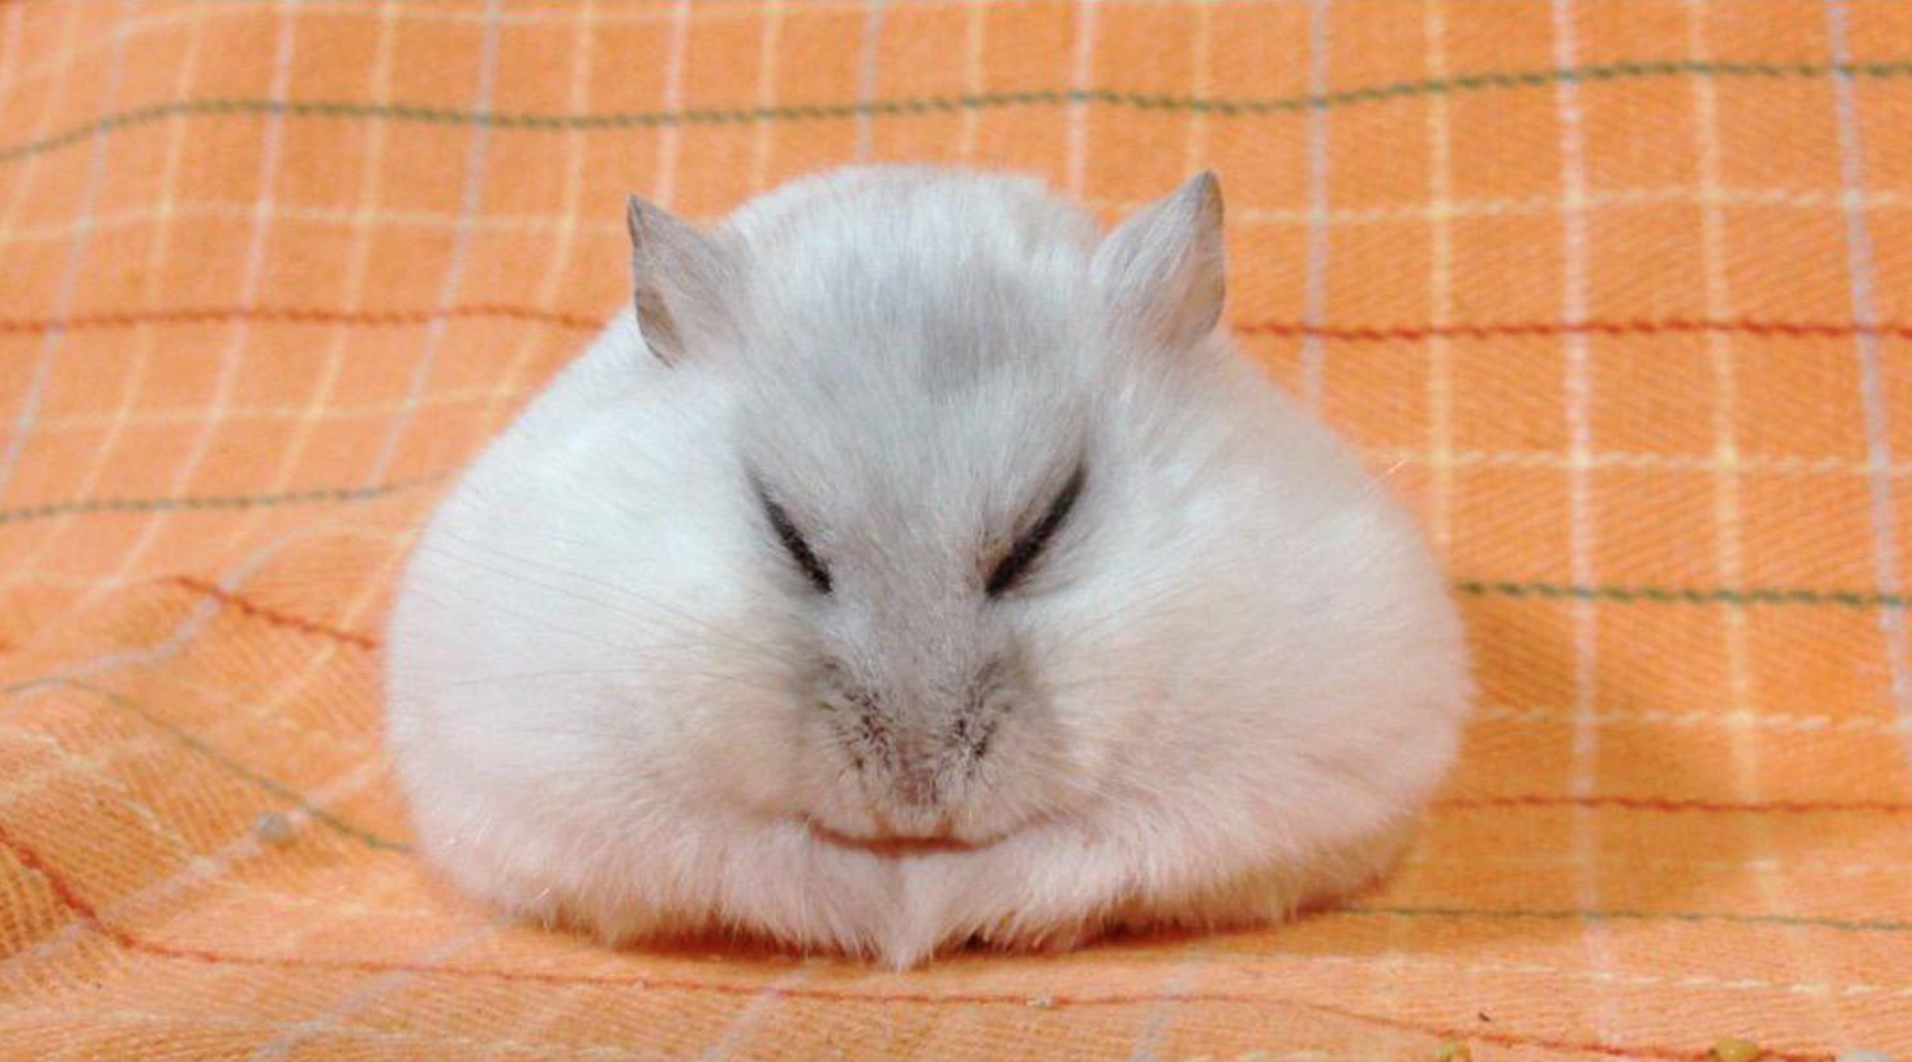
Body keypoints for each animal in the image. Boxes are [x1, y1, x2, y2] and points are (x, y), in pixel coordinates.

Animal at [384, 165, 1472, 968]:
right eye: (787, 534)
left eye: (1045, 526)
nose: (916, 801)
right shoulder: (552, 769)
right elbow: (754, 852)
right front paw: (891, 906)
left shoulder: (1293, 769)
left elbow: (1087, 846)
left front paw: (933, 900)